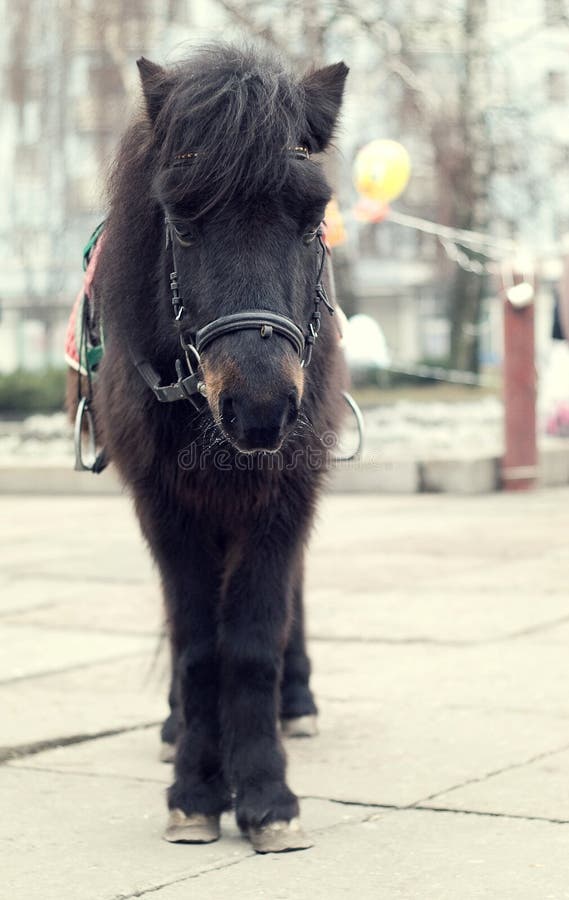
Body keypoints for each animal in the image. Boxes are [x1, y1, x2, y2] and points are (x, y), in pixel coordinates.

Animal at [68, 43, 349, 853]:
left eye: (311, 219)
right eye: (183, 223)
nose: (259, 407)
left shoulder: (284, 498)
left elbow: (250, 644)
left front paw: (265, 796)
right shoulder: (166, 507)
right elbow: (196, 645)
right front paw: (197, 789)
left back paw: (297, 701)